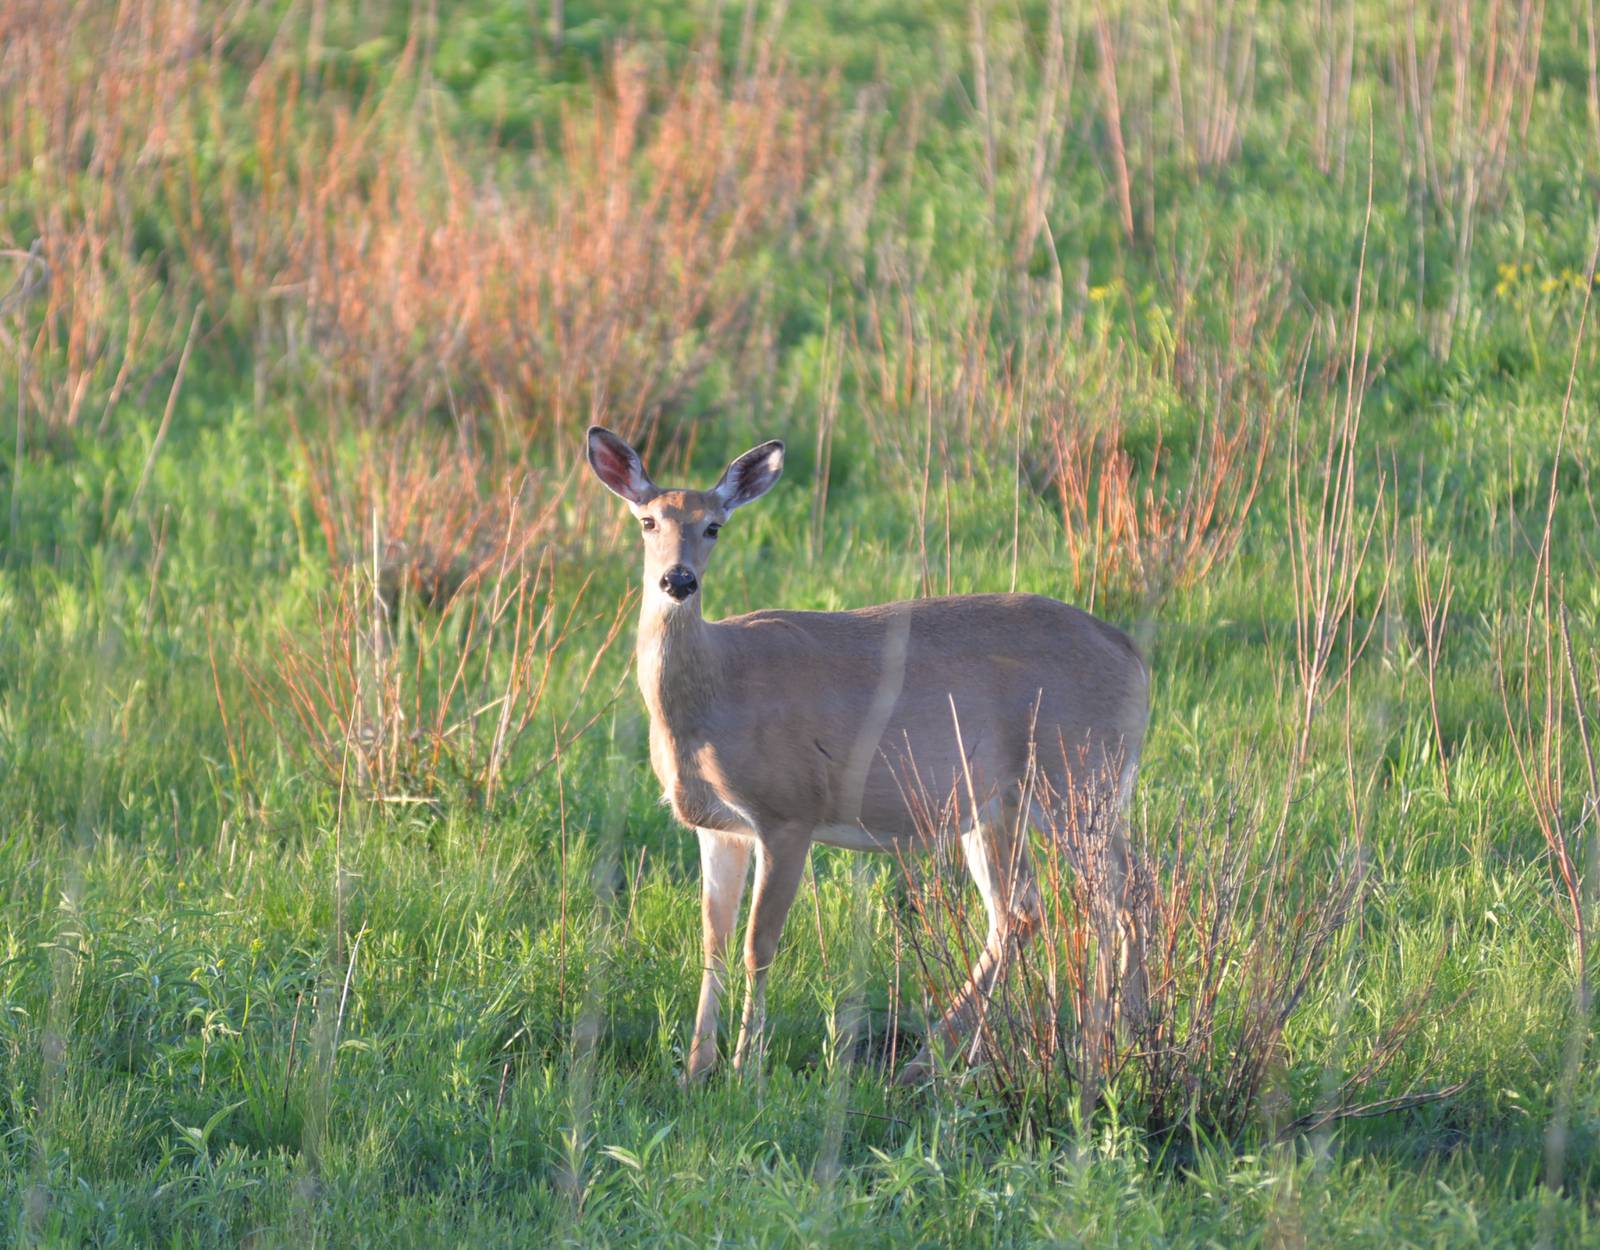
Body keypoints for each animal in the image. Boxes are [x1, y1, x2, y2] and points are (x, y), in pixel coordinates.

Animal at [586, 425, 1150, 1085]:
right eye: (648, 521)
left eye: (714, 526)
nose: (678, 581)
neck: (714, 693)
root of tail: (1132, 653)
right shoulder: (718, 826)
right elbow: (712, 941)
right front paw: (696, 1071)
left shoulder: (789, 810)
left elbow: (758, 945)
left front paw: (746, 1070)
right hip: (997, 804)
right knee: (1021, 913)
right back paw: (937, 1062)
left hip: (1080, 774)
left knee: (1119, 897)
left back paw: (1110, 1044)